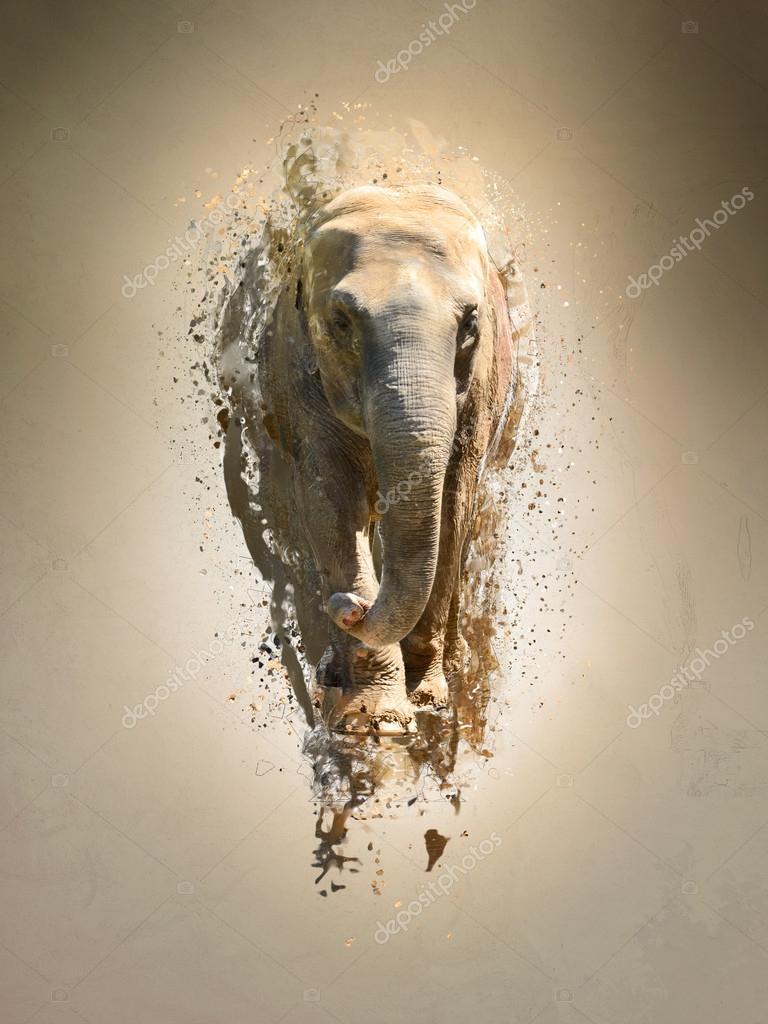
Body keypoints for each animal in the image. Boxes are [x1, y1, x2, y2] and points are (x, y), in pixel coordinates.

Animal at [219, 183, 517, 736]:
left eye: (470, 324)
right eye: (340, 322)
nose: (349, 607)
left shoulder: (481, 393)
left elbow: (451, 508)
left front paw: (425, 700)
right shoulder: (296, 377)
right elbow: (332, 505)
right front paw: (373, 720)